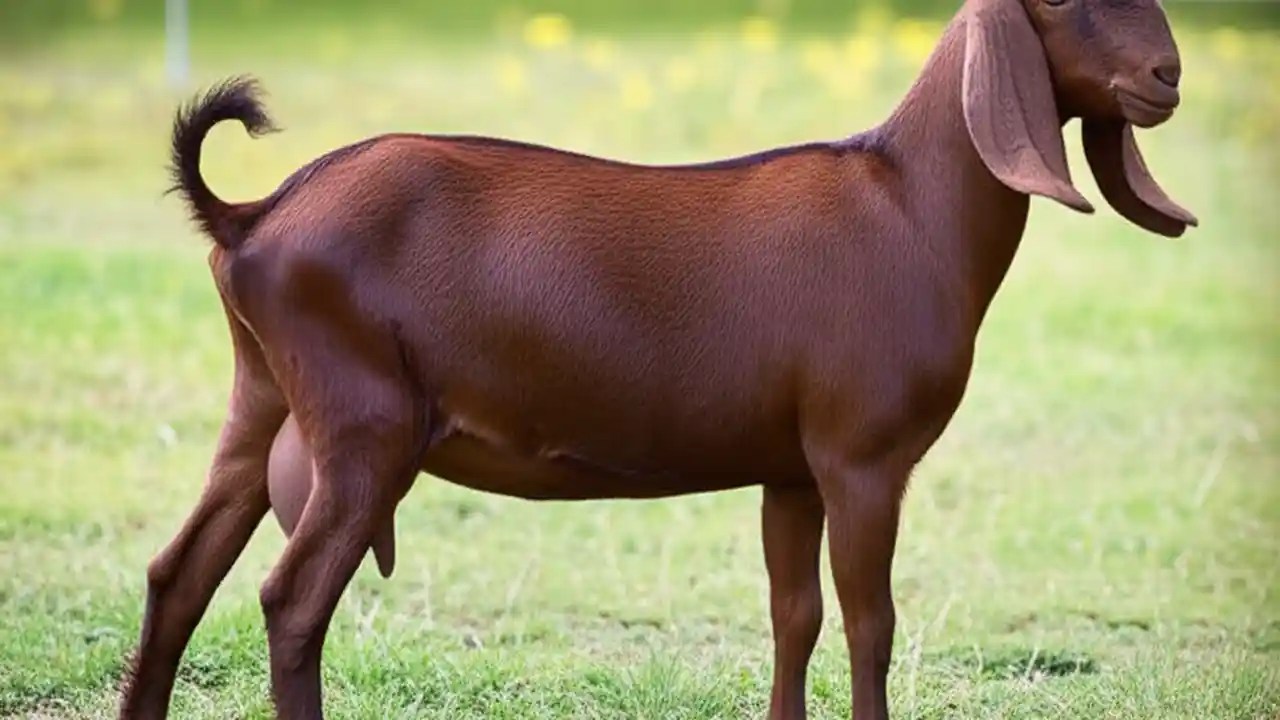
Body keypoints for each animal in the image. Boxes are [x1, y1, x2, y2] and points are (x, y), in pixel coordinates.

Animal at [120, 0, 1195, 717]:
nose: (1167, 76)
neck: (909, 207)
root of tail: (253, 214)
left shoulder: (791, 469)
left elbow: (795, 615)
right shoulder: (863, 457)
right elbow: (870, 623)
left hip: (263, 397)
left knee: (178, 574)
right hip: (363, 424)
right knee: (292, 601)